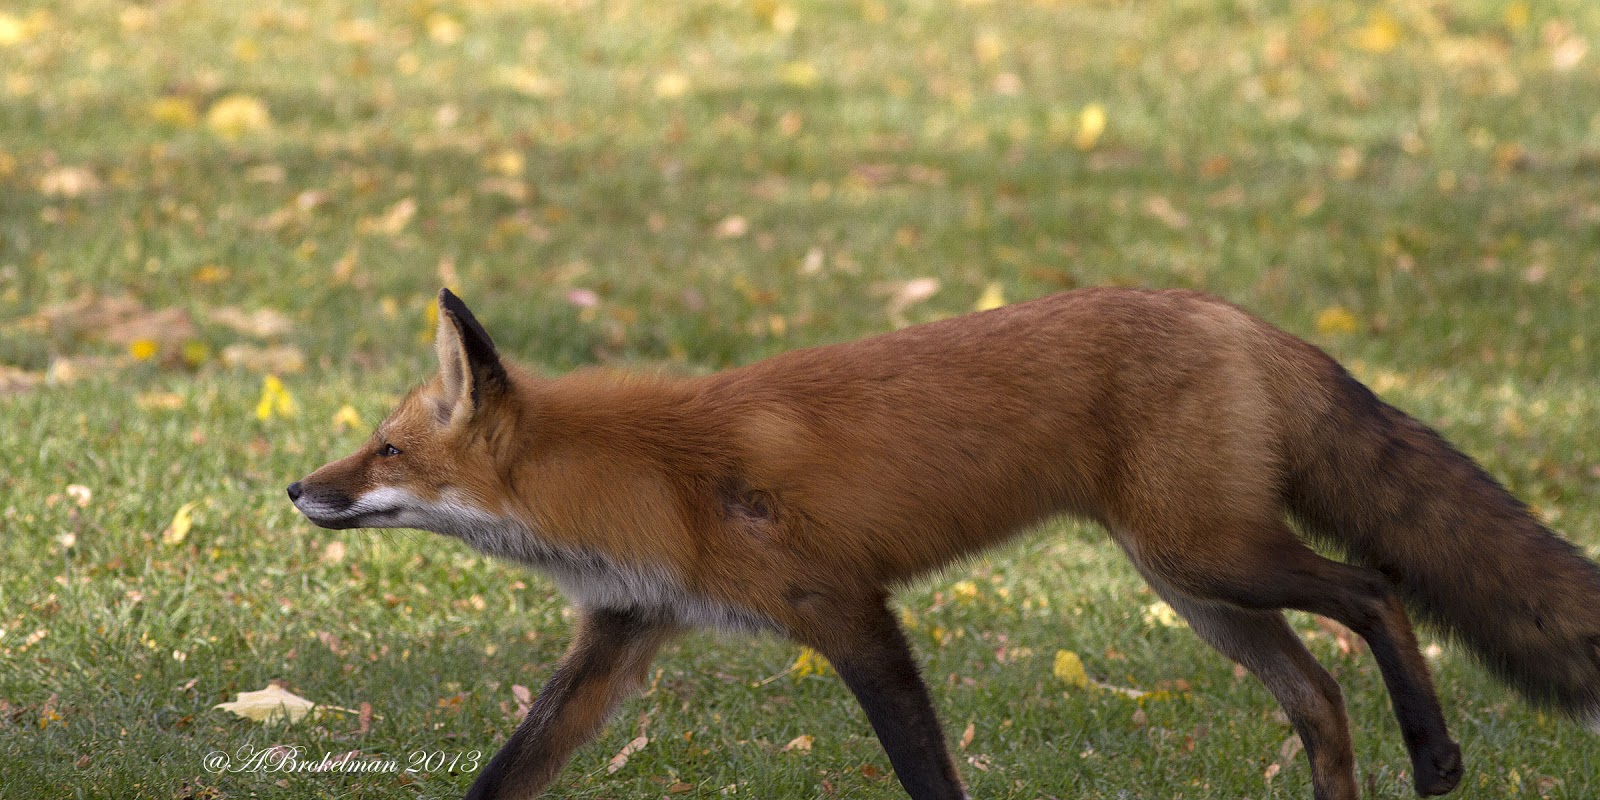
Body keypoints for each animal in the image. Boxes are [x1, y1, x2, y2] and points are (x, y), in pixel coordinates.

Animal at [289, 287, 1600, 800]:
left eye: (386, 450)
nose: (297, 484)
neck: (653, 478)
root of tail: (1238, 315)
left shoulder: (845, 606)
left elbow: (923, 764)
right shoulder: (623, 631)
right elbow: (508, 766)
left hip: (1208, 554)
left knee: (1375, 590)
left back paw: (1434, 752)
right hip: (1193, 585)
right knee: (1318, 690)